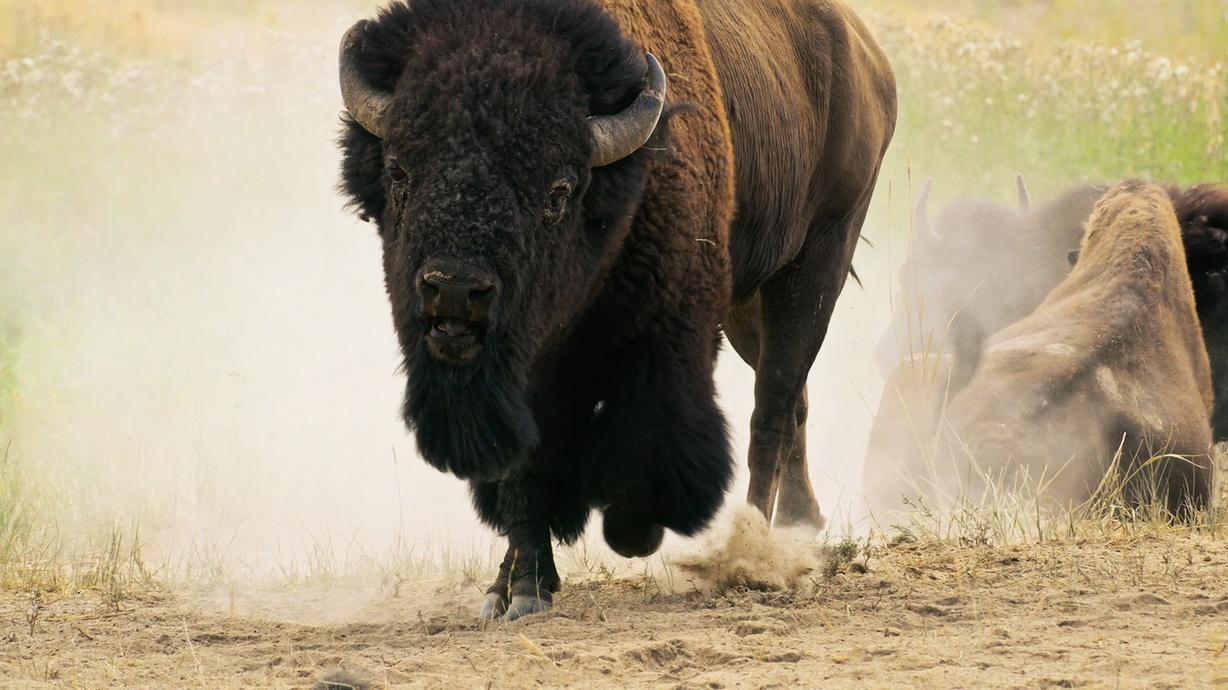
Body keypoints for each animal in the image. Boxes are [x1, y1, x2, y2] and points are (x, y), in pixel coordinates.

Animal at [336, 0, 896, 620]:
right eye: (399, 172)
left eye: (558, 190)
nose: (455, 289)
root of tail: (872, 62)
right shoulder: (520, 367)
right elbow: (524, 462)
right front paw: (513, 589)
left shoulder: (663, 334)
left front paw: (619, 540)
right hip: (752, 306)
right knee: (793, 398)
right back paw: (800, 526)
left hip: (817, 262)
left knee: (772, 404)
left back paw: (749, 556)